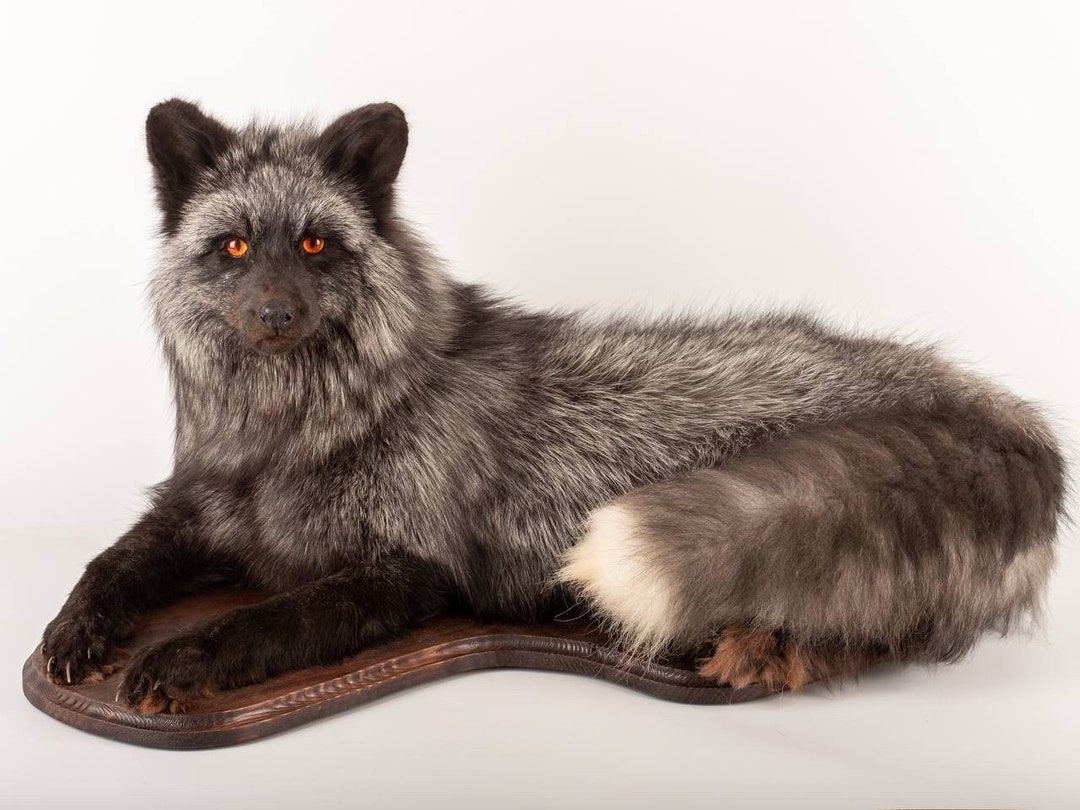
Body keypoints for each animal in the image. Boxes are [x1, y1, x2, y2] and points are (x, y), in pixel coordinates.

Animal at [40, 99, 1066, 712]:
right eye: (237, 250)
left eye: (317, 244)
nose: (276, 315)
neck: (287, 441)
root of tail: (994, 405)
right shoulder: (197, 511)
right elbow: (111, 563)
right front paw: (72, 630)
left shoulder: (412, 570)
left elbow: (265, 621)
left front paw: (181, 657)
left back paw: (751, 647)